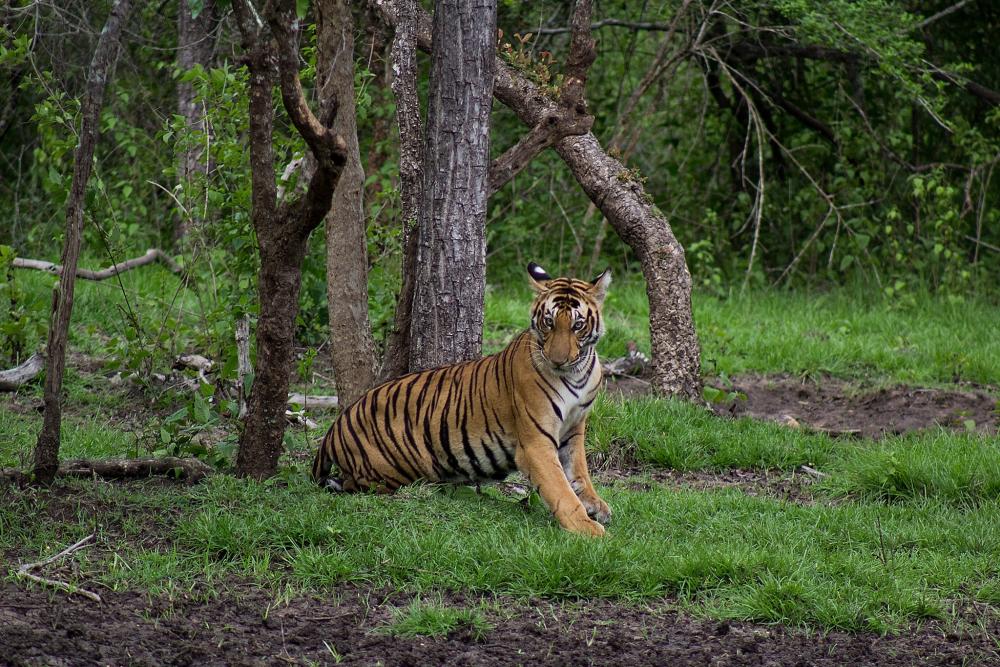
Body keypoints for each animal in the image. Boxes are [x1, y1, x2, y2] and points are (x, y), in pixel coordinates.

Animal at [312, 262, 612, 537]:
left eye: (577, 325)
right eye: (549, 322)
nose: (557, 360)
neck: (576, 374)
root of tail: (334, 428)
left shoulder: (573, 429)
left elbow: (578, 471)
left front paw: (596, 505)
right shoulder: (535, 442)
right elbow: (560, 488)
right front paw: (587, 528)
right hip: (389, 468)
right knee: (354, 485)